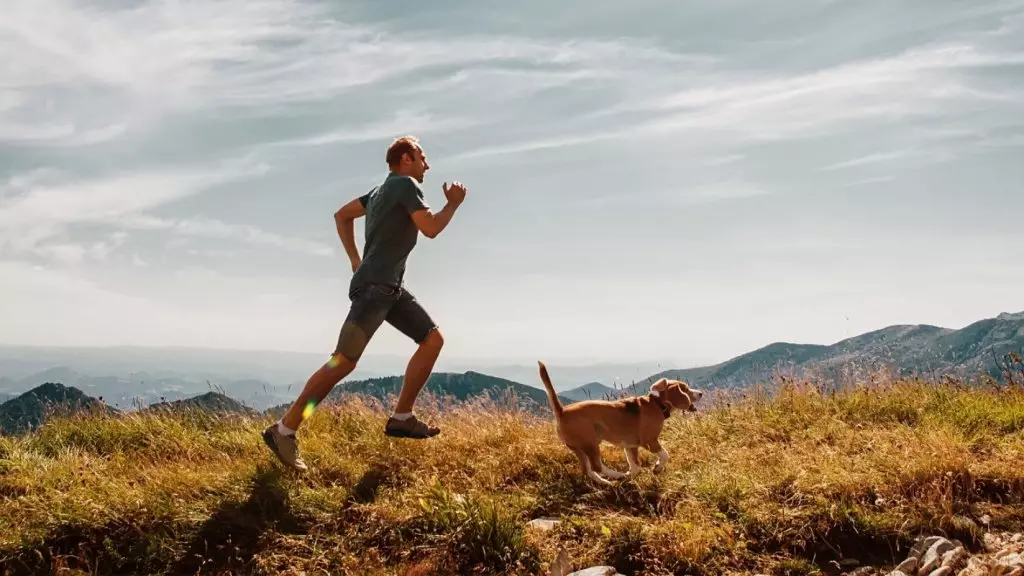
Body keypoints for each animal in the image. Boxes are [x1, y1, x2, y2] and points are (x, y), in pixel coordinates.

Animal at [536, 360, 704, 481]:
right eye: (686, 389)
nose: (701, 393)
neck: (656, 403)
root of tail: (561, 411)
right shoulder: (649, 441)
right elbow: (665, 455)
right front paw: (657, 468)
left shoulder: (631, 446)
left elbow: (635, 465)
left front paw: (632, 475)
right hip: (590, 443)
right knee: (597, 467)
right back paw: (617, 476)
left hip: (579, 448)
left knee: (588, 470)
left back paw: (606, 483)